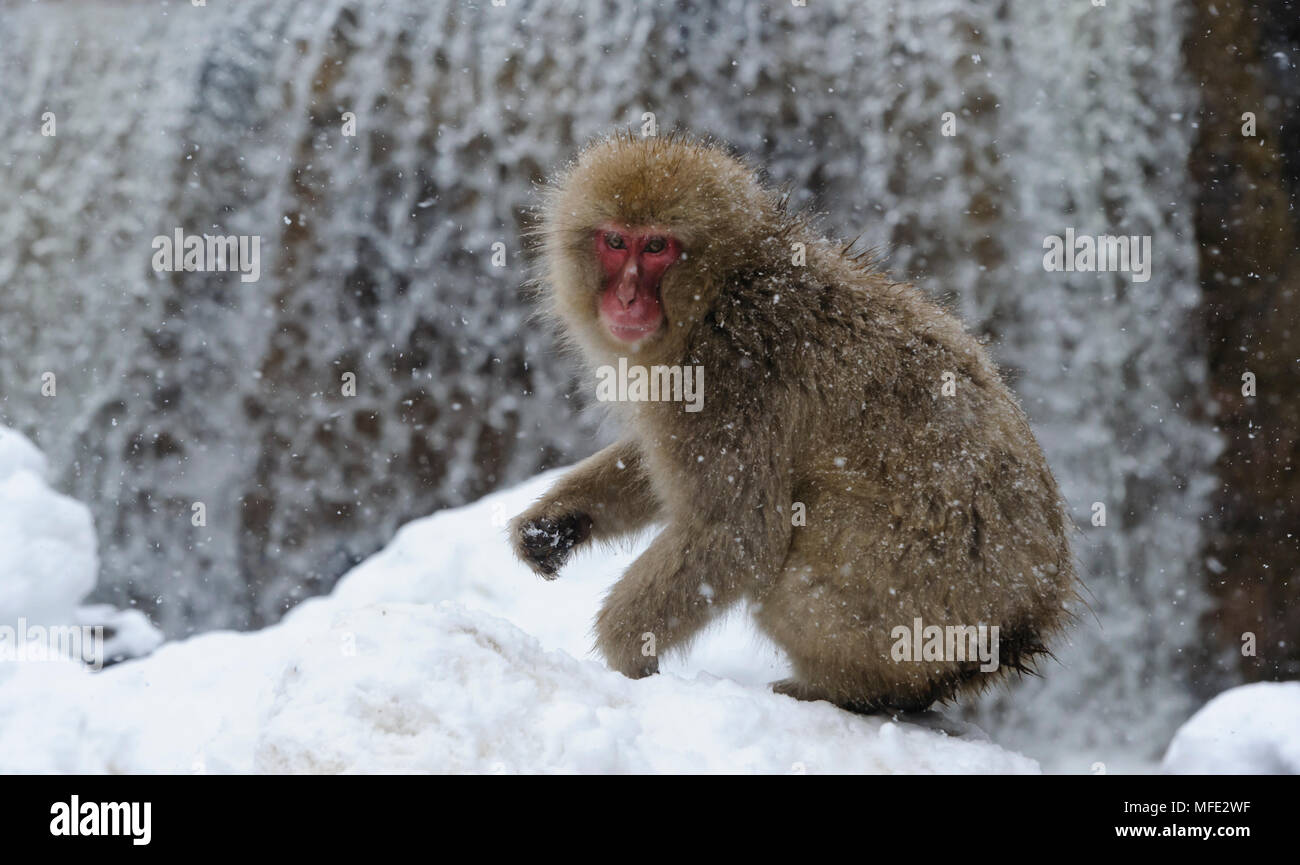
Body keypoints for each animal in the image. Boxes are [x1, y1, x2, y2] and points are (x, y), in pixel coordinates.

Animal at [510, 130, 1076, 713]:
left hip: (920, 601)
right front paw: (557, 520)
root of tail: (1026, 622)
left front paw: (626, 655)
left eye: (656, 247)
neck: (725, 288)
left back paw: (845, 691)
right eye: (615, 241)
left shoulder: (727, 378)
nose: (625, 297)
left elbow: (738, 532)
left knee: (801, 549)